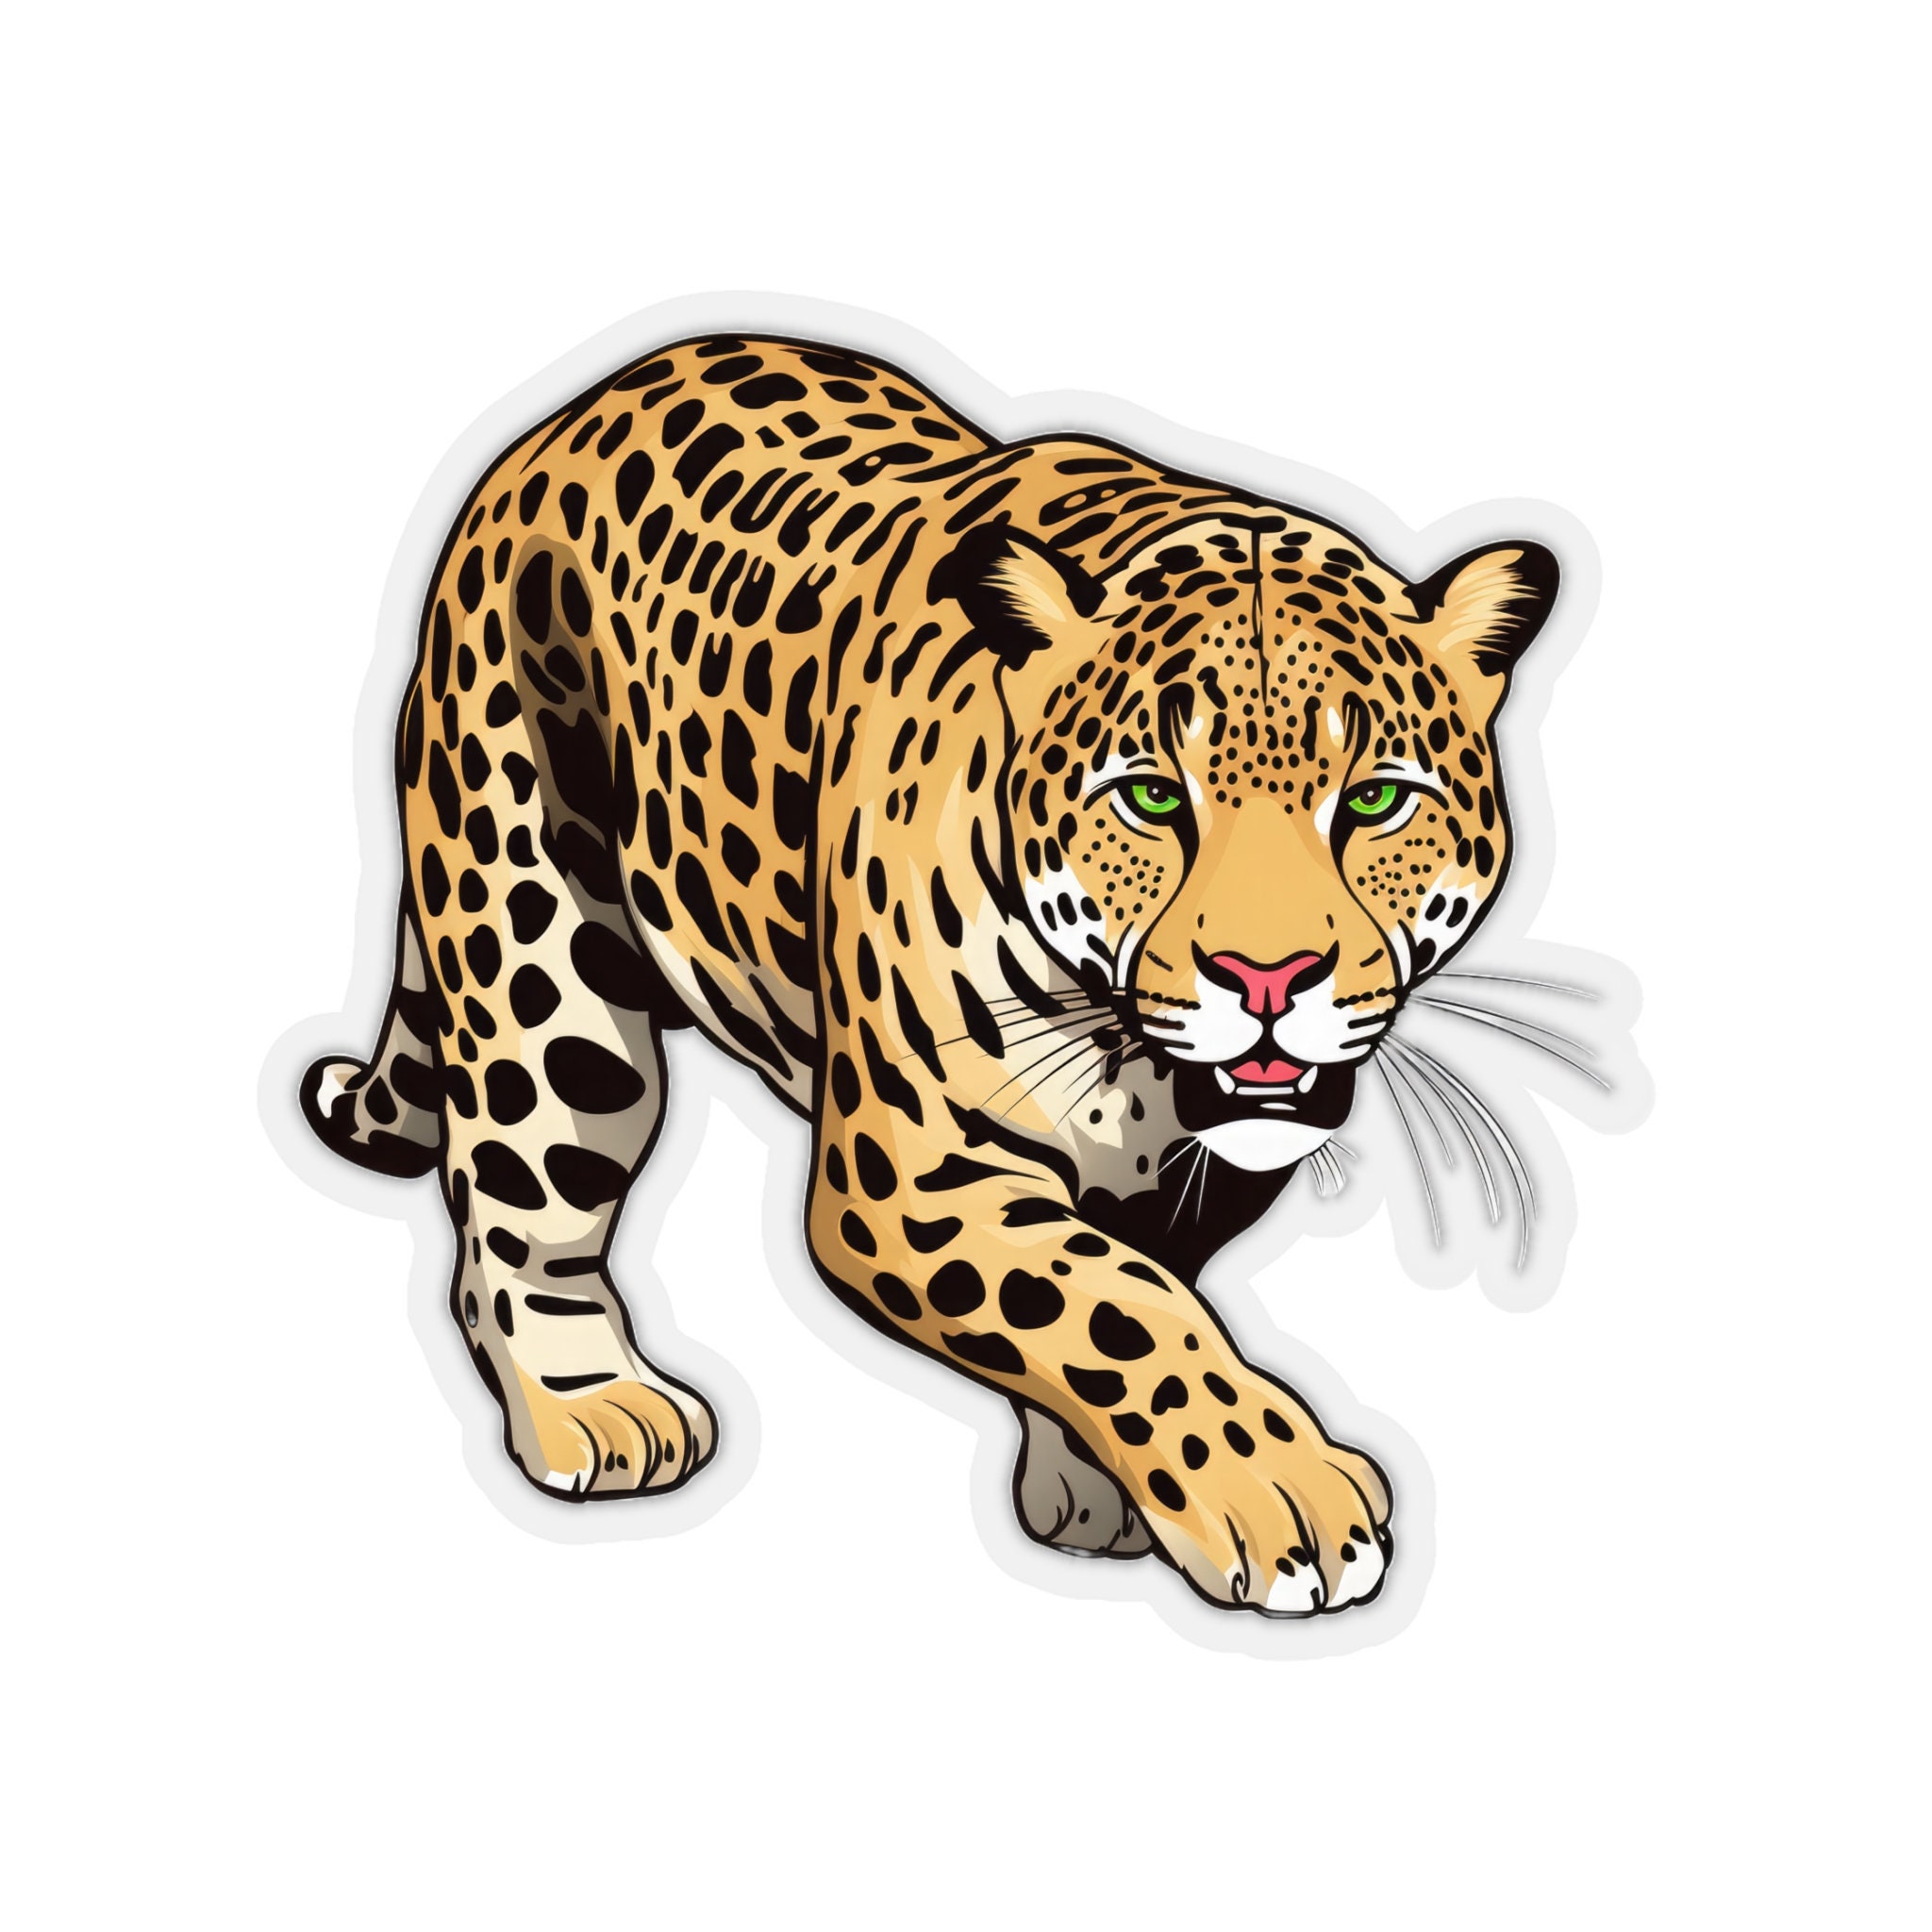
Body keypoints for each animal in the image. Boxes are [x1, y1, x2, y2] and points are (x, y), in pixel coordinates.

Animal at [301, 333, 1557, 1618]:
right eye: (1152, 797)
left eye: (1376, 799)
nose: (1267, 977)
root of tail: (573, 412)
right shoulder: (909, 1171)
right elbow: (1113, 1306)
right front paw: (1279, 1492)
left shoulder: (1176, 1184)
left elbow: (1120, 1286)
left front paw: (1090, 1491)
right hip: (535, 930)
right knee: (520, 1190)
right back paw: (592, 1405)